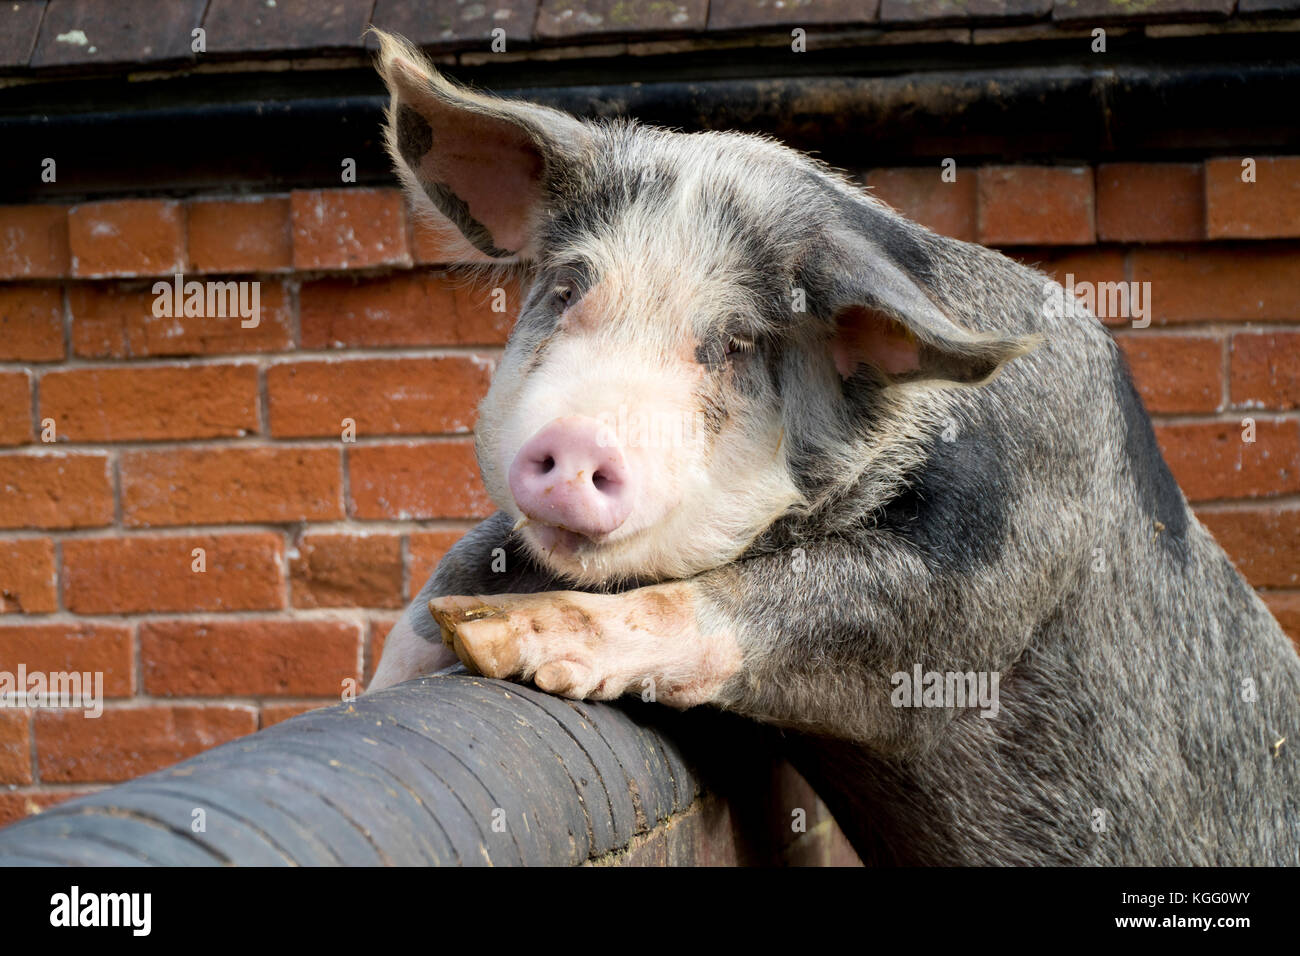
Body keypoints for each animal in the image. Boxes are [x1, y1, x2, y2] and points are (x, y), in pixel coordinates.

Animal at [365, 31, 1300, 865]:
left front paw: (494, 637)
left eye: (737, 342)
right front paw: (419, 660)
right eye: (566, 289)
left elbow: (799, 613)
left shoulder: (1001, 556)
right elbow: (461, 560)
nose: (573, 440)